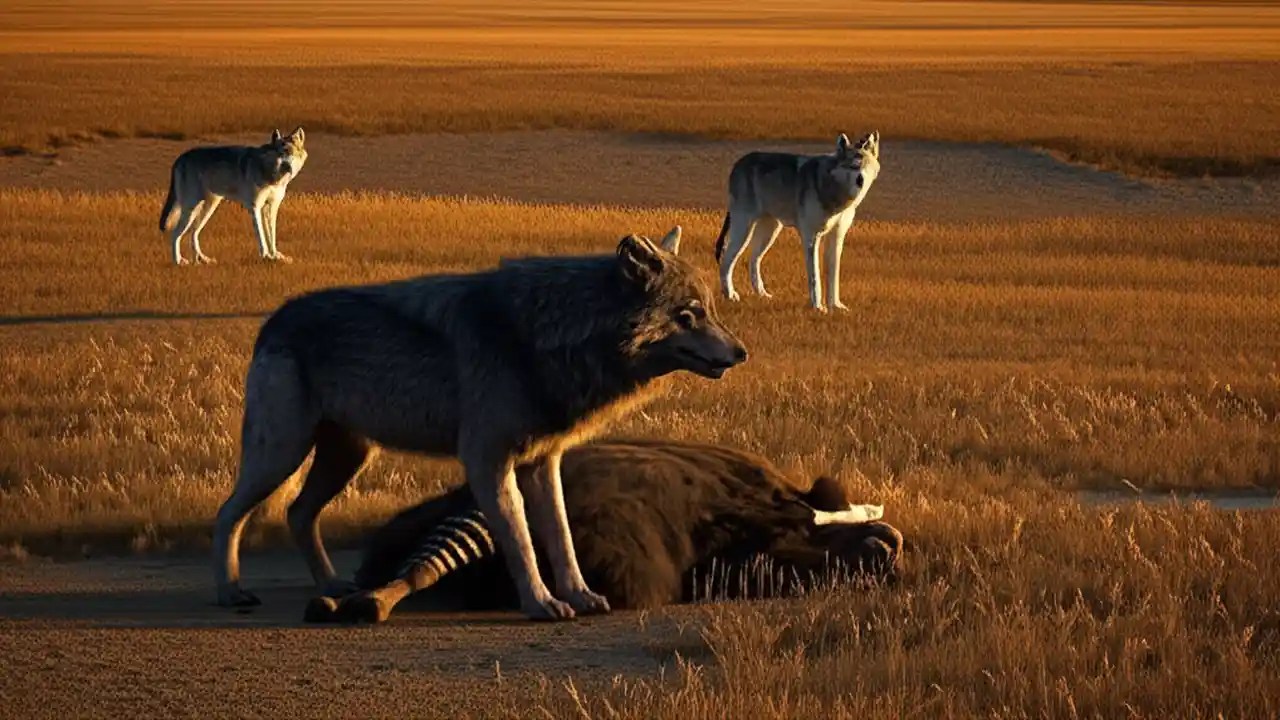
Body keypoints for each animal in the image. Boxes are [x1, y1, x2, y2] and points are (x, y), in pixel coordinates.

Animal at [159, 127, 308, 266]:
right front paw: (266, 256)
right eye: (278, 153)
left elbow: (271, 236)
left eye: (288, 152)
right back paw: (178, 261)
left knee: (193, 233)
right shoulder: (254, 207)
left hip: (208, 207)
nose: (282, 165)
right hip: (192, 209)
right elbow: (261, 236)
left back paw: (201, 260)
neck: (271, 175)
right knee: (175, 234)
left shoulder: (271, 208)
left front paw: (276, 256)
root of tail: (180, 157)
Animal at [211, 227, 749, 621]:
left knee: (299, 512)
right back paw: (230, 592)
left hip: (346, 459)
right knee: (230, 512)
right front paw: (541, 604)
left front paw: (580, 596)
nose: (741, 353)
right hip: (282, 455)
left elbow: (560, 539)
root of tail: (274, 320)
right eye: (689, 315)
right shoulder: (488, 464)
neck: (548, 335)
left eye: (711, 311)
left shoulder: (543, 463)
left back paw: (330, 584)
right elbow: (520, 542)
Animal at [715, 132, 881, 312]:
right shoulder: (811, 237)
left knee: (753, 260)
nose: (860, 180)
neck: (832, 189)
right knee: (726, 260)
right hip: (744, 229)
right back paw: (730, 295)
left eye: (865, 166)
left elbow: (833, 275)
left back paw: (762, 294)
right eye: (853, 166)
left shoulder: (837, 237)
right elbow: (815, 278)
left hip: (770, 232)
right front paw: (818, 308)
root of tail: (738, 164)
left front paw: (835, 306)